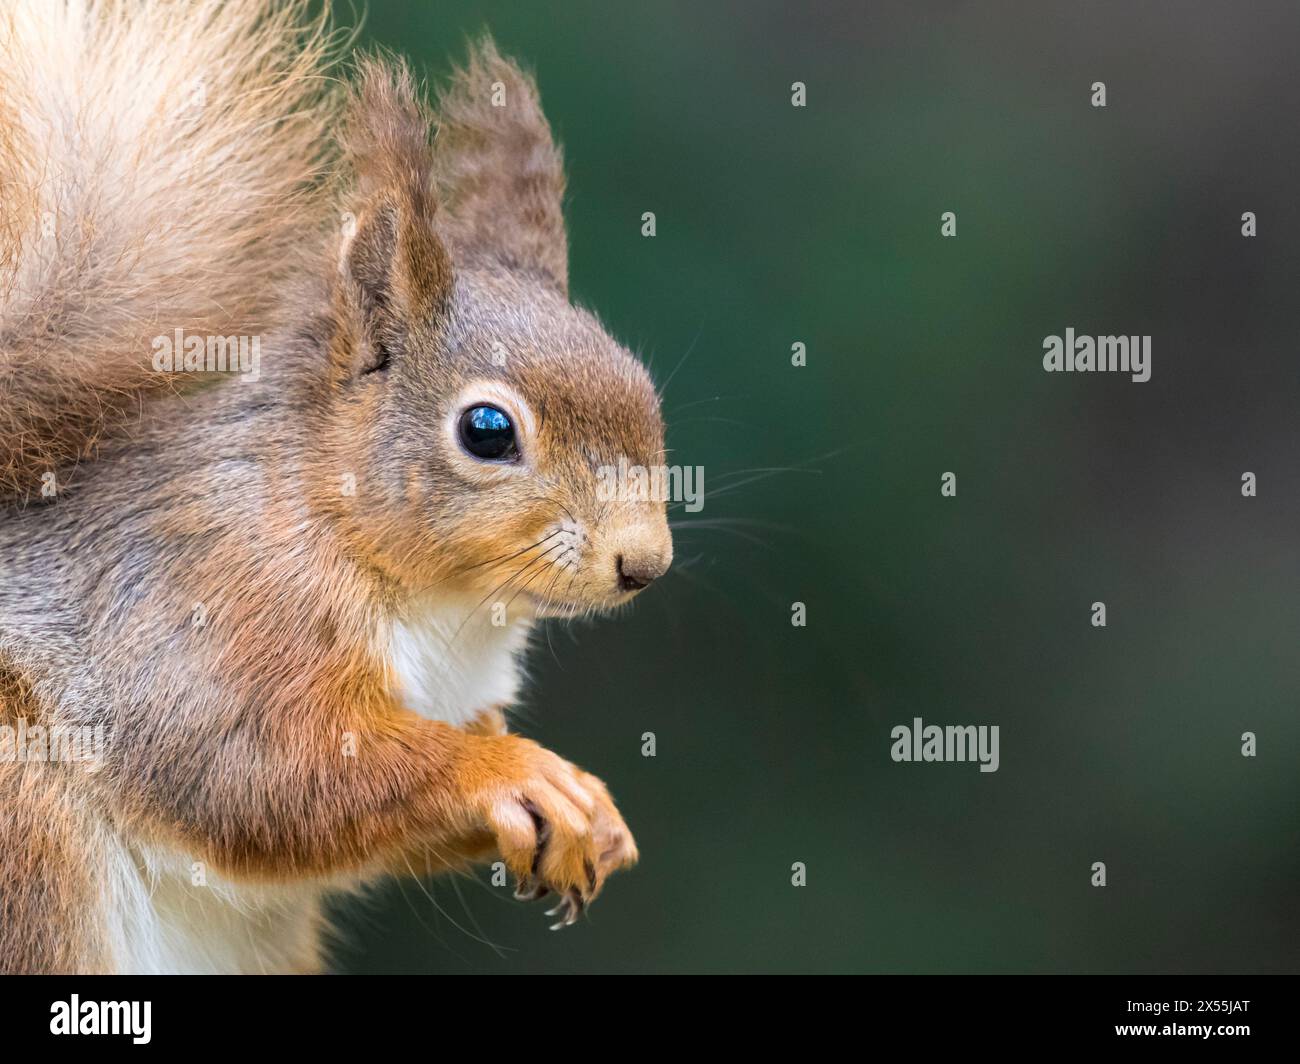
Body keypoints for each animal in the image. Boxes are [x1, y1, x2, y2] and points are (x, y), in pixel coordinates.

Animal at [0, 0, 671, 973]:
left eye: (647, 392)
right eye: (487, 430)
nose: (644, 563)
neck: (446, 608)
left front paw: (587, 803)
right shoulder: (213, 612)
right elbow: (261, 774)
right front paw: (510, 771)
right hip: (28, 838)